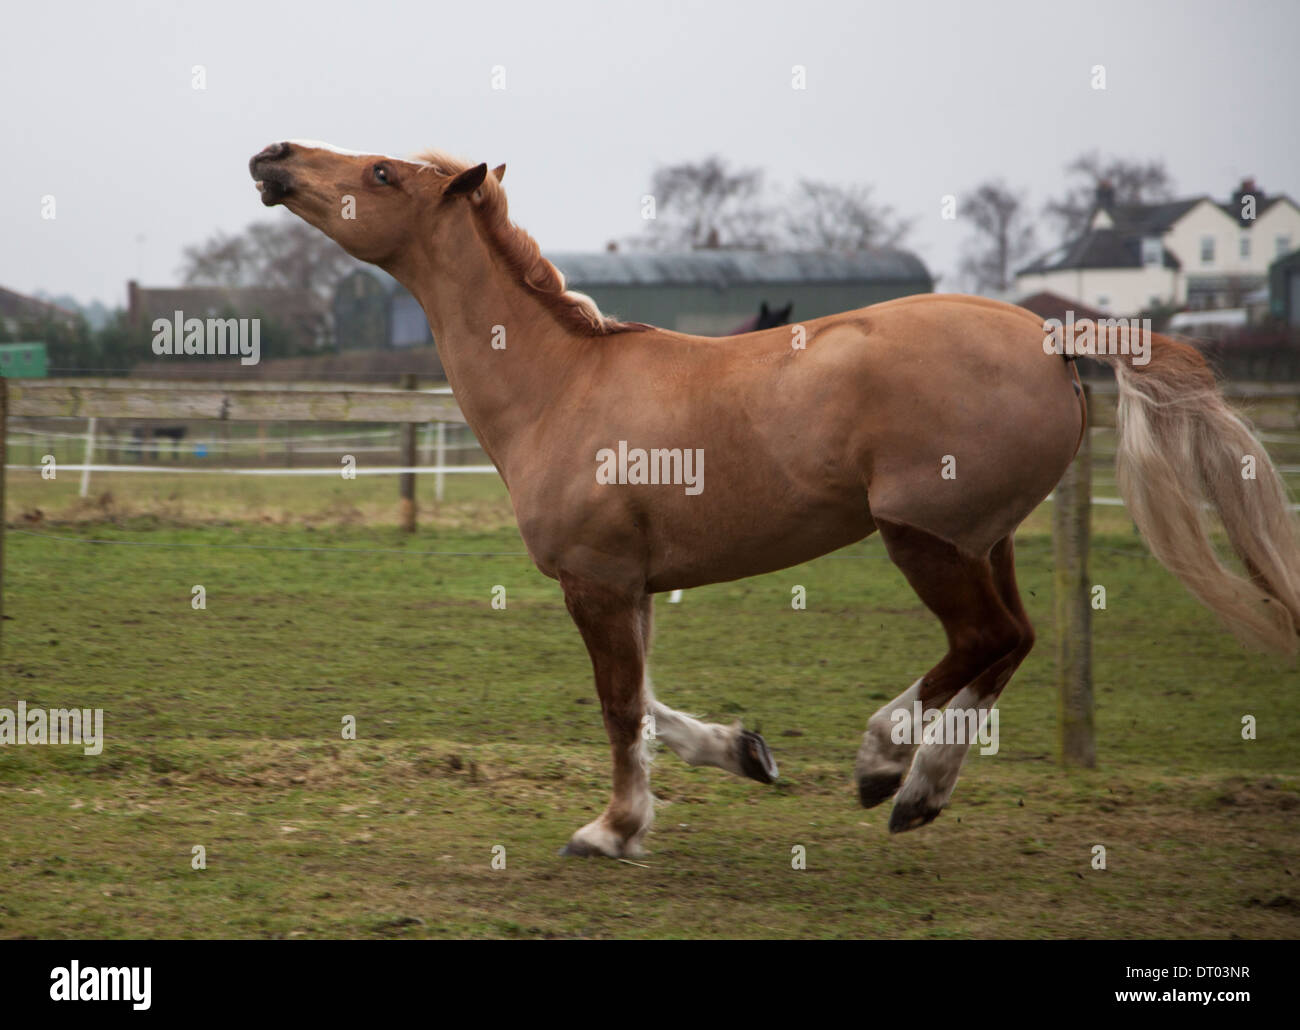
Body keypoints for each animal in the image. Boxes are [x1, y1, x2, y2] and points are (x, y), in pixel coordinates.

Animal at [249, 141, 1300, 858]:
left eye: (383, 172)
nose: (274, 156)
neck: (561, 386)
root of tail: (1050, 338)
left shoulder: (595, 582)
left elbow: (619, 706)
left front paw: (611, 829)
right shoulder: (632, 585)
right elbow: (649, 701)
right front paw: (742, 753)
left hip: (924, 539)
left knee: (985, 641)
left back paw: (885, 763)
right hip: (984, 539)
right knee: (1012, 644)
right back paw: (920, 792)